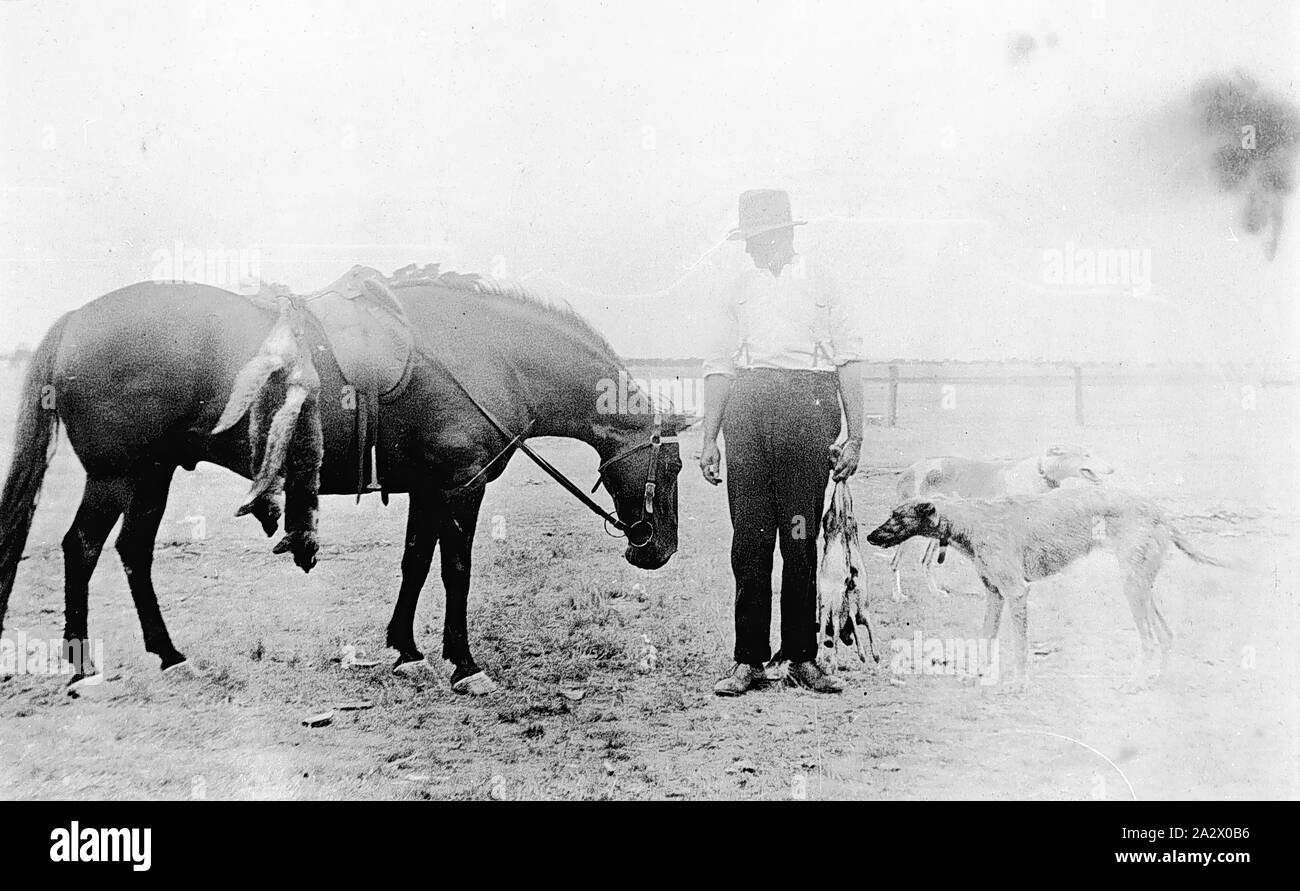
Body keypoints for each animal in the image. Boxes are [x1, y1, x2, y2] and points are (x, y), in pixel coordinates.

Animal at [0, 270, 691, 697]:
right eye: (675, 466)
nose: (659, 550)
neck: (490, 353)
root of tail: (75, 320)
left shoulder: (428, 490)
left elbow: (416, 562)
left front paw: (406, 650)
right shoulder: (461, 487)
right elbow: (456, 571)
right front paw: (464, 666)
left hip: (154, 475)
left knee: (133, 553)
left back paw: (171, 656)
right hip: (115, 476)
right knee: (82, 549)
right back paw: (82, 671)